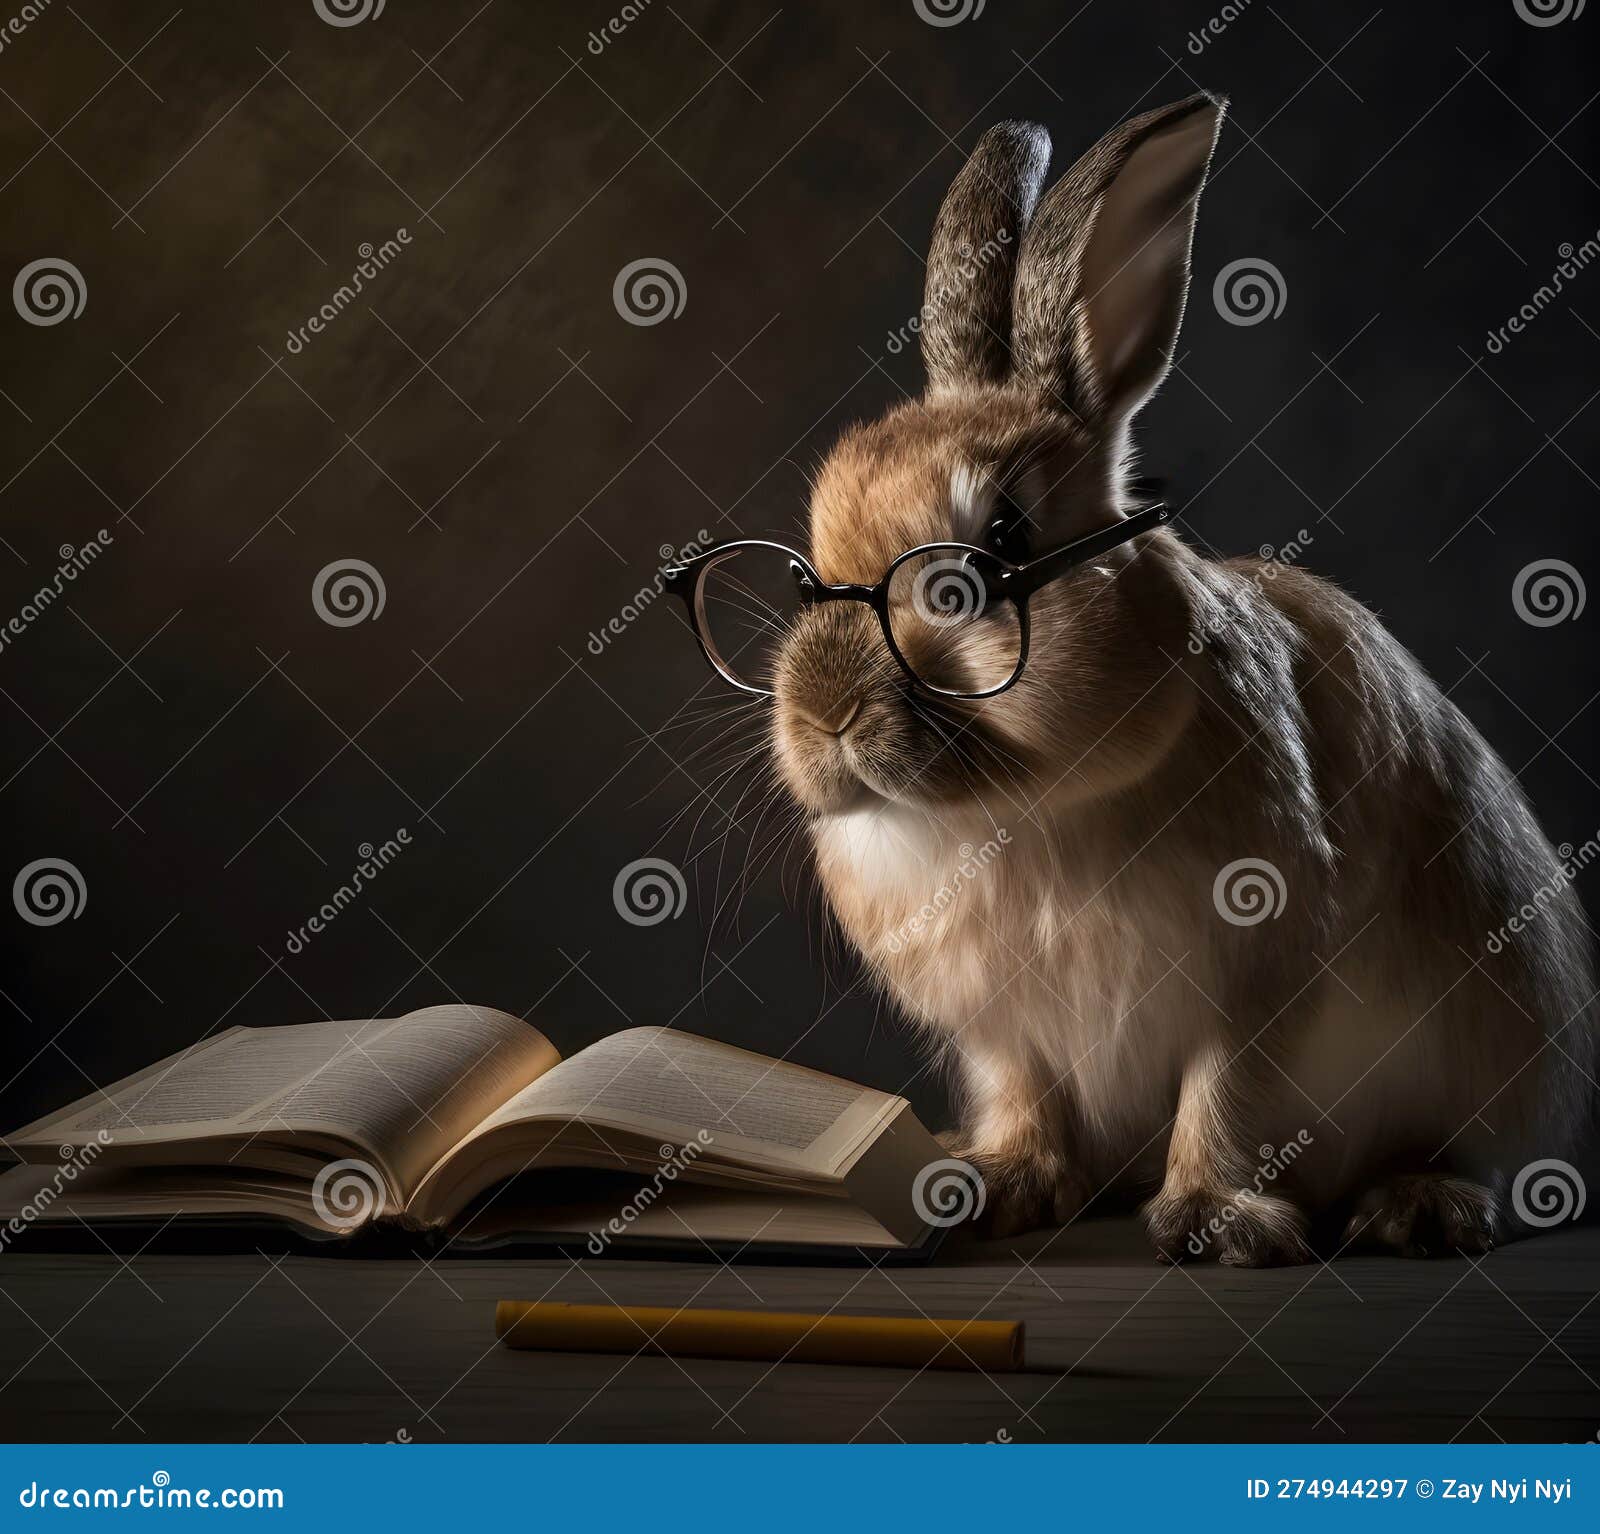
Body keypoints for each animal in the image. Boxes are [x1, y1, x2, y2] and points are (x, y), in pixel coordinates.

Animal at [762, 94, 1597, 1262]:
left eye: (993, 550)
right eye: (807, 568)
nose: (828, 715)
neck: (1025, 806)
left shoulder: (1257, 981)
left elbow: (1226, 1094)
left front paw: (1213, 1222)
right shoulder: (1002, 1031)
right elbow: (1026, 1096)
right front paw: (1000, 1185)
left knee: (1469, 1151)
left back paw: (1416, 1206)